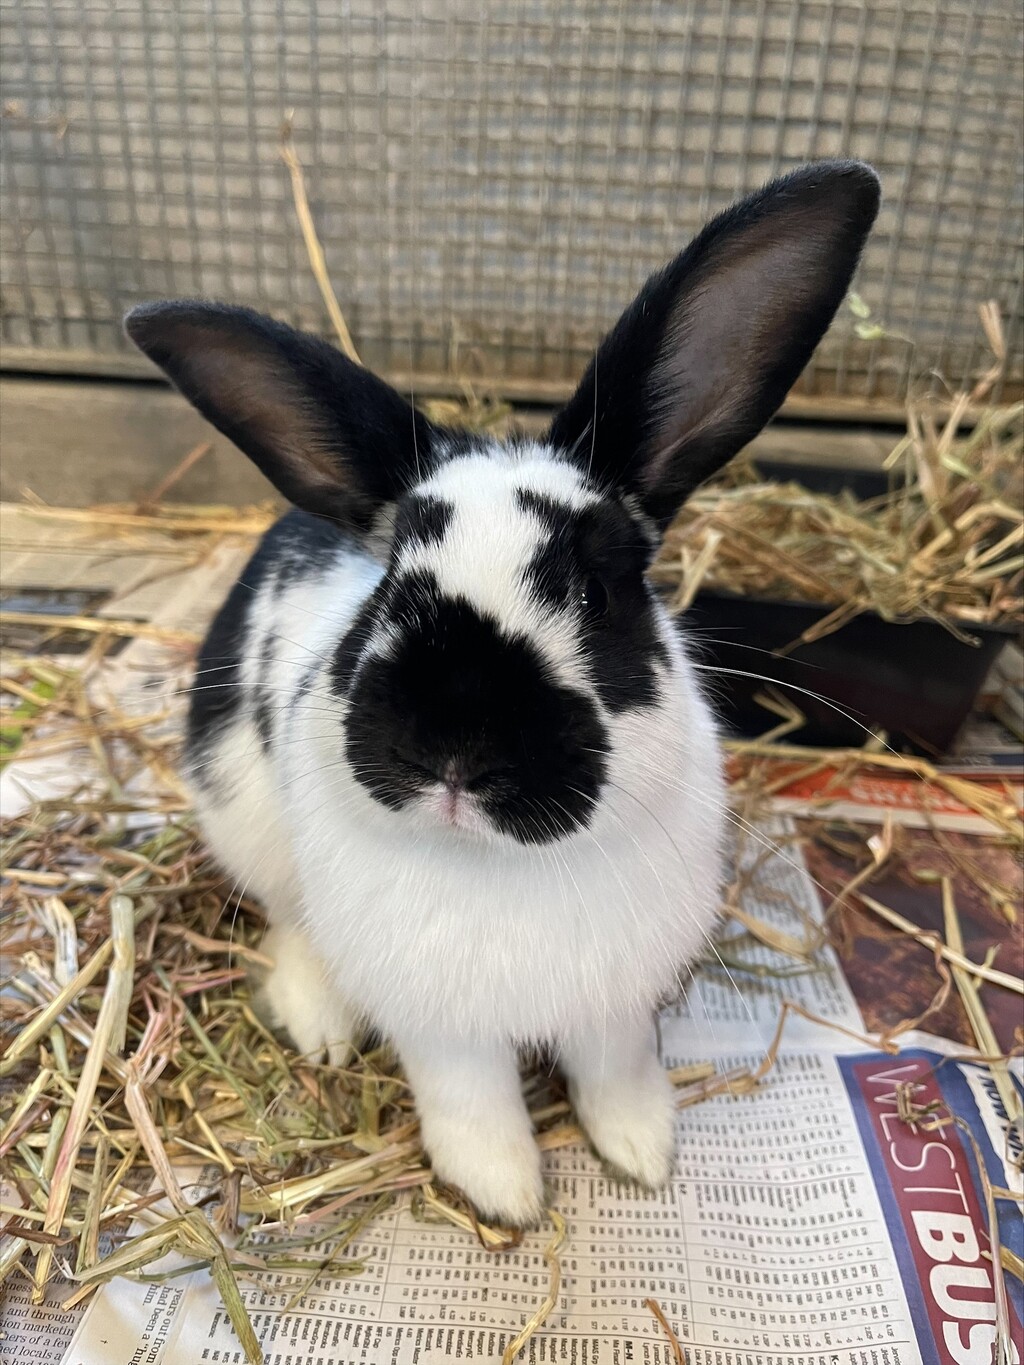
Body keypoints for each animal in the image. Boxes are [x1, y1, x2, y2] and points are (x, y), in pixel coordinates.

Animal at [125, 160, 879, 1226]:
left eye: (598, 589)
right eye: (393, 580)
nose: (454, 745)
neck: (499, 864)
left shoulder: (615, 1003)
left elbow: (615, 1072)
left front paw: (643, 1152)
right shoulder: (442, 1023)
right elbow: (469, 1097)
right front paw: (505, 1195)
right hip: (244, 810)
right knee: (288, 920)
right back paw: (322, 1023)